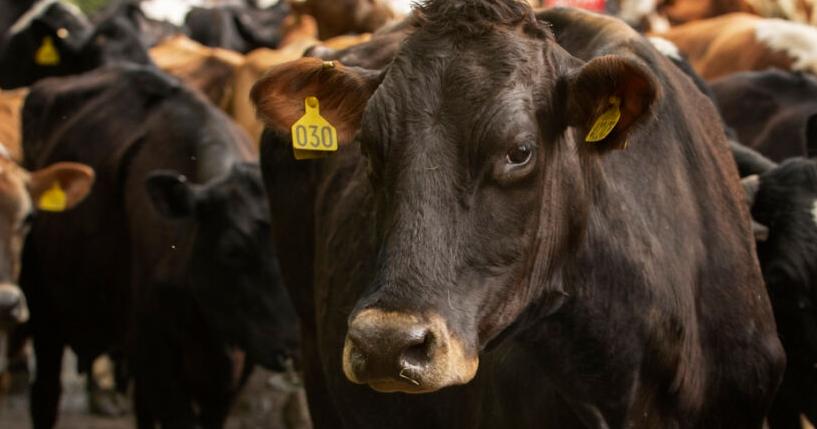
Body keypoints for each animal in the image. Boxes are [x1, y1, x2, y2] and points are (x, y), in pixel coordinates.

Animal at [21, 64, 299, 429]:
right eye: (231, 251)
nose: (292, 351)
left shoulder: (236, 365)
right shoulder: (154, 357)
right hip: (43, 310)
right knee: (45, 393)